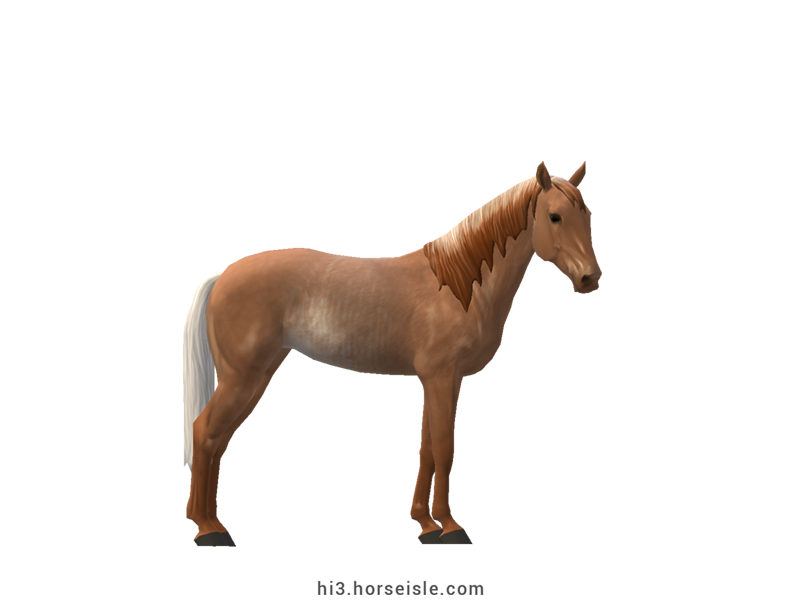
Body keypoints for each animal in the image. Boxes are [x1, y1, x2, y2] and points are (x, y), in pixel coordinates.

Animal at [183, 164, 601, 540]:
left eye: (585, 213)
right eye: (555, 216)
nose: (589, 277)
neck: (460, 286)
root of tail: (221, 278)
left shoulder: (439, 380)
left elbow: (428, 449)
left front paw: (423, 519)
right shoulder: (440, 376)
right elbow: (445, 447)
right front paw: (447, 521)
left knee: (210, 437)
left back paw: (203, 520)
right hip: (240, 378)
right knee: (203, 432)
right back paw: (203, 525)